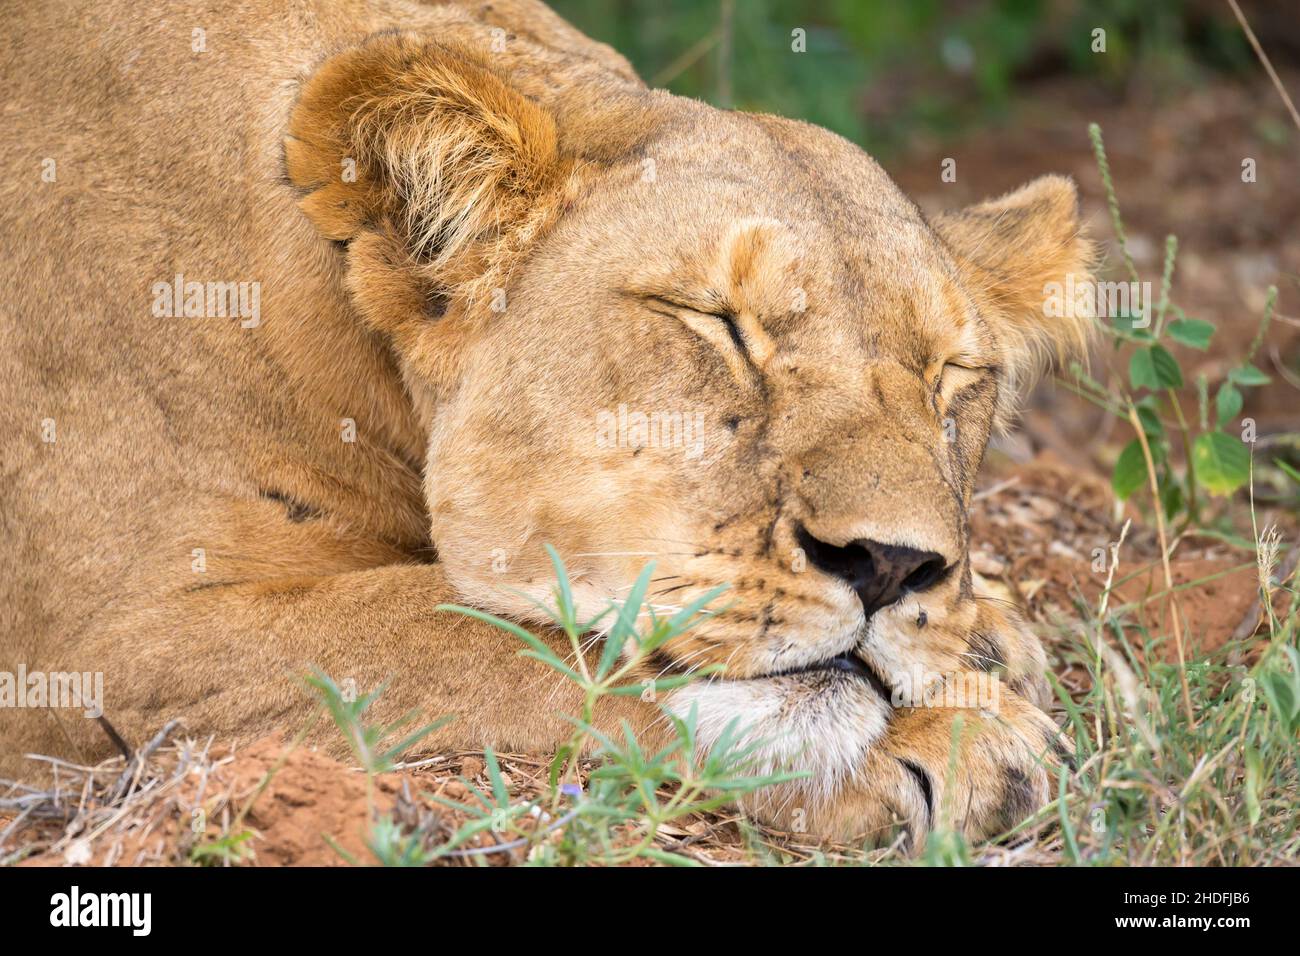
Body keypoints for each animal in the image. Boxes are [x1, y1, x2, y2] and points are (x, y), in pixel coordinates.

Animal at [0, 0, 1089, 847]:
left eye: (954, 377)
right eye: (715, 322)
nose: (892, 565)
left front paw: (983, 640)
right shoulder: (98, 652)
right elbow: (465, 642)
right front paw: (954, 741)